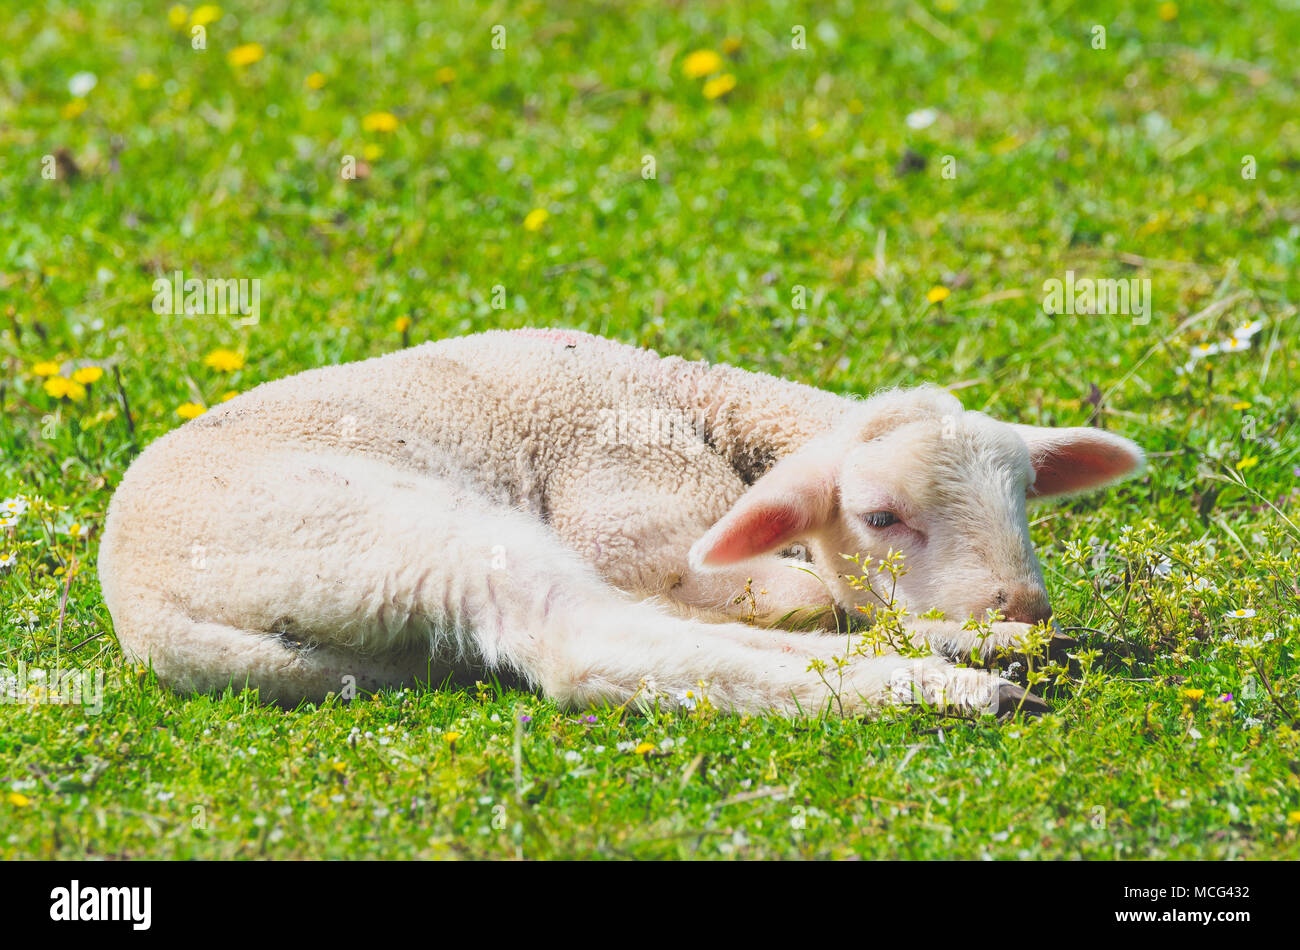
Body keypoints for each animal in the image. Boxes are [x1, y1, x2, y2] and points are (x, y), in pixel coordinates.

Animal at [98, 327, 1145, 717]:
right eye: (882, 516)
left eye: (1024, 498)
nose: (1024, 608)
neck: (697, 406)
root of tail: (147, 616)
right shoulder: (634, 517)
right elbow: (805, 594)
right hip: (407, 534)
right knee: (589, 645)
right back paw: (960, 684)